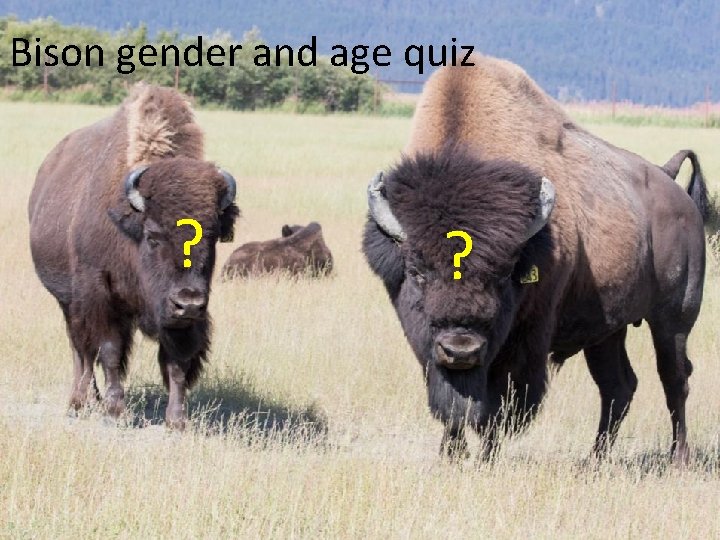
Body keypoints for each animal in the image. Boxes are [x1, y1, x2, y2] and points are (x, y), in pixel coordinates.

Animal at [29, 84, 239, 429]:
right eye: (153, 235)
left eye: (211, 236)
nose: (188, 302)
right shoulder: (100, 297)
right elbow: (110, 352)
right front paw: (117, 411)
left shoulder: (180, 321)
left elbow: (177, 362)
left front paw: (177, 420)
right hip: (67, 301)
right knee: (81, 351)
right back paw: (79, 402)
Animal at [362, 54, 709, 464]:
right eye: (417, 271)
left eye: (504, 274)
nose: (461, 349)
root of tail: (672, 184)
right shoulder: (430, 350)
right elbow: (452, 402)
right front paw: (452, 454)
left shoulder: (522, 341)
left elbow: (502, 402)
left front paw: (486, 458)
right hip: (608, 329)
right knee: (618, 386)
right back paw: (593, 459)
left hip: (674, 318)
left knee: (675, 380)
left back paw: (678, 457)